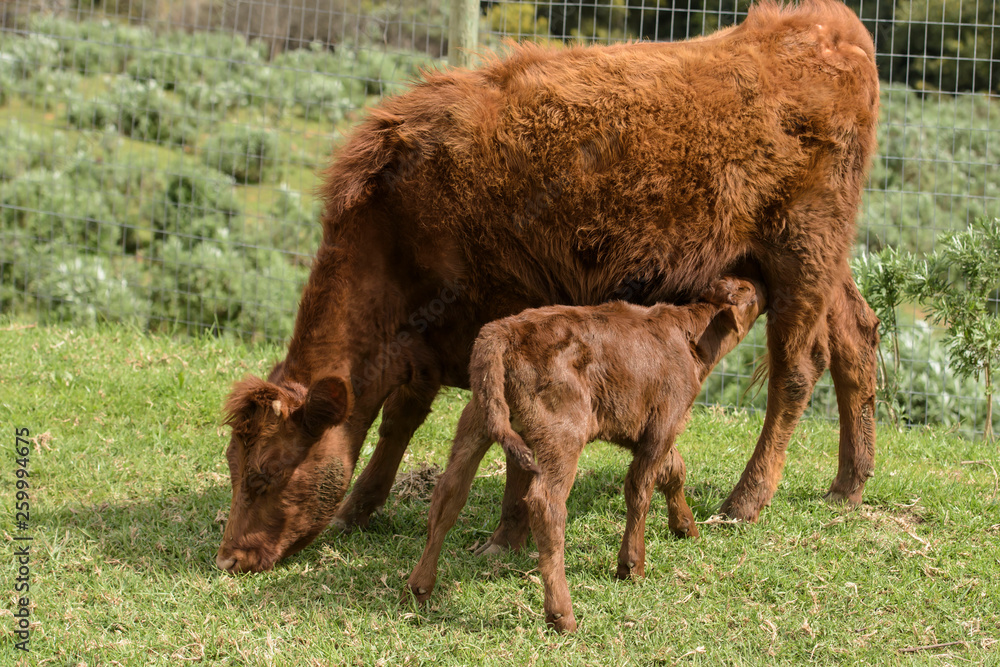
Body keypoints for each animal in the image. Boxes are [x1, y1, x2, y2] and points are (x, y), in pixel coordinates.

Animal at [216, 0, 880, 574]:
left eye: (264, 475)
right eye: (233, 467)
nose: (230, 557)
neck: (398, 222)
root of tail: (828, 26)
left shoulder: (507, 321)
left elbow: (511, 445)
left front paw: (503, 536)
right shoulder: (425, 345)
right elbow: (399, 421)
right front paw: (359, 509)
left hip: (803, 251)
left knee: (797, 369)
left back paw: (745, 503)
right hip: (821, 260)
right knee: (857, 336)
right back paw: (848, 484)